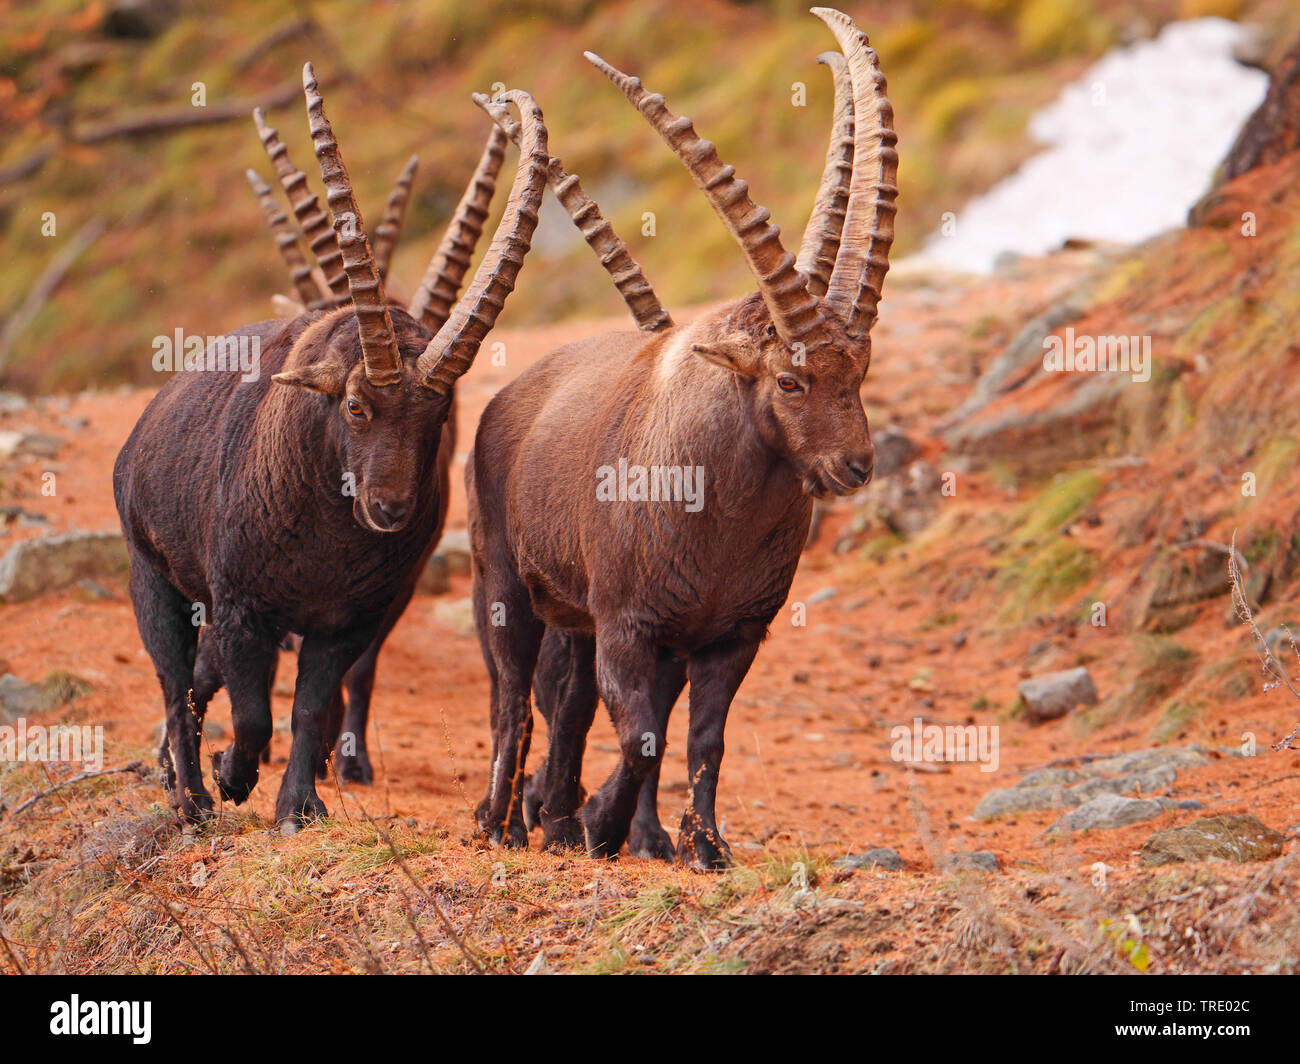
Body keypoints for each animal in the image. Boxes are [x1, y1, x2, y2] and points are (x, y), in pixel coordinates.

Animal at [114, 65, 550, 830]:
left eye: (440, 414)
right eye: (354, 405)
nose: (390, 508)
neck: (326, 538)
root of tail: (145, 426)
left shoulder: (355, 614)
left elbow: (314, 702)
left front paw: (300, 804)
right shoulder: (241, 606)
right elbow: (252, 711)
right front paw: (234, 777)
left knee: (199, 682)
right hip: (152, 572)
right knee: (173, 678)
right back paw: (191, 797)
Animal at [466, 7, 896, 867]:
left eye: (860, 371)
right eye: (790, 381)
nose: (854, 466)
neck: (720, 518)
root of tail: (508, 399)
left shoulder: (730, 635)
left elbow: (702, 741)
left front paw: (704, 847)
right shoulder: (630, 625)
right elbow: (642, 738)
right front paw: (606, 826)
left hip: (577, 617)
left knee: (567, 706)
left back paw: (554, 822)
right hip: (504, 579)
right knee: (513, 699)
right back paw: (502, 822)